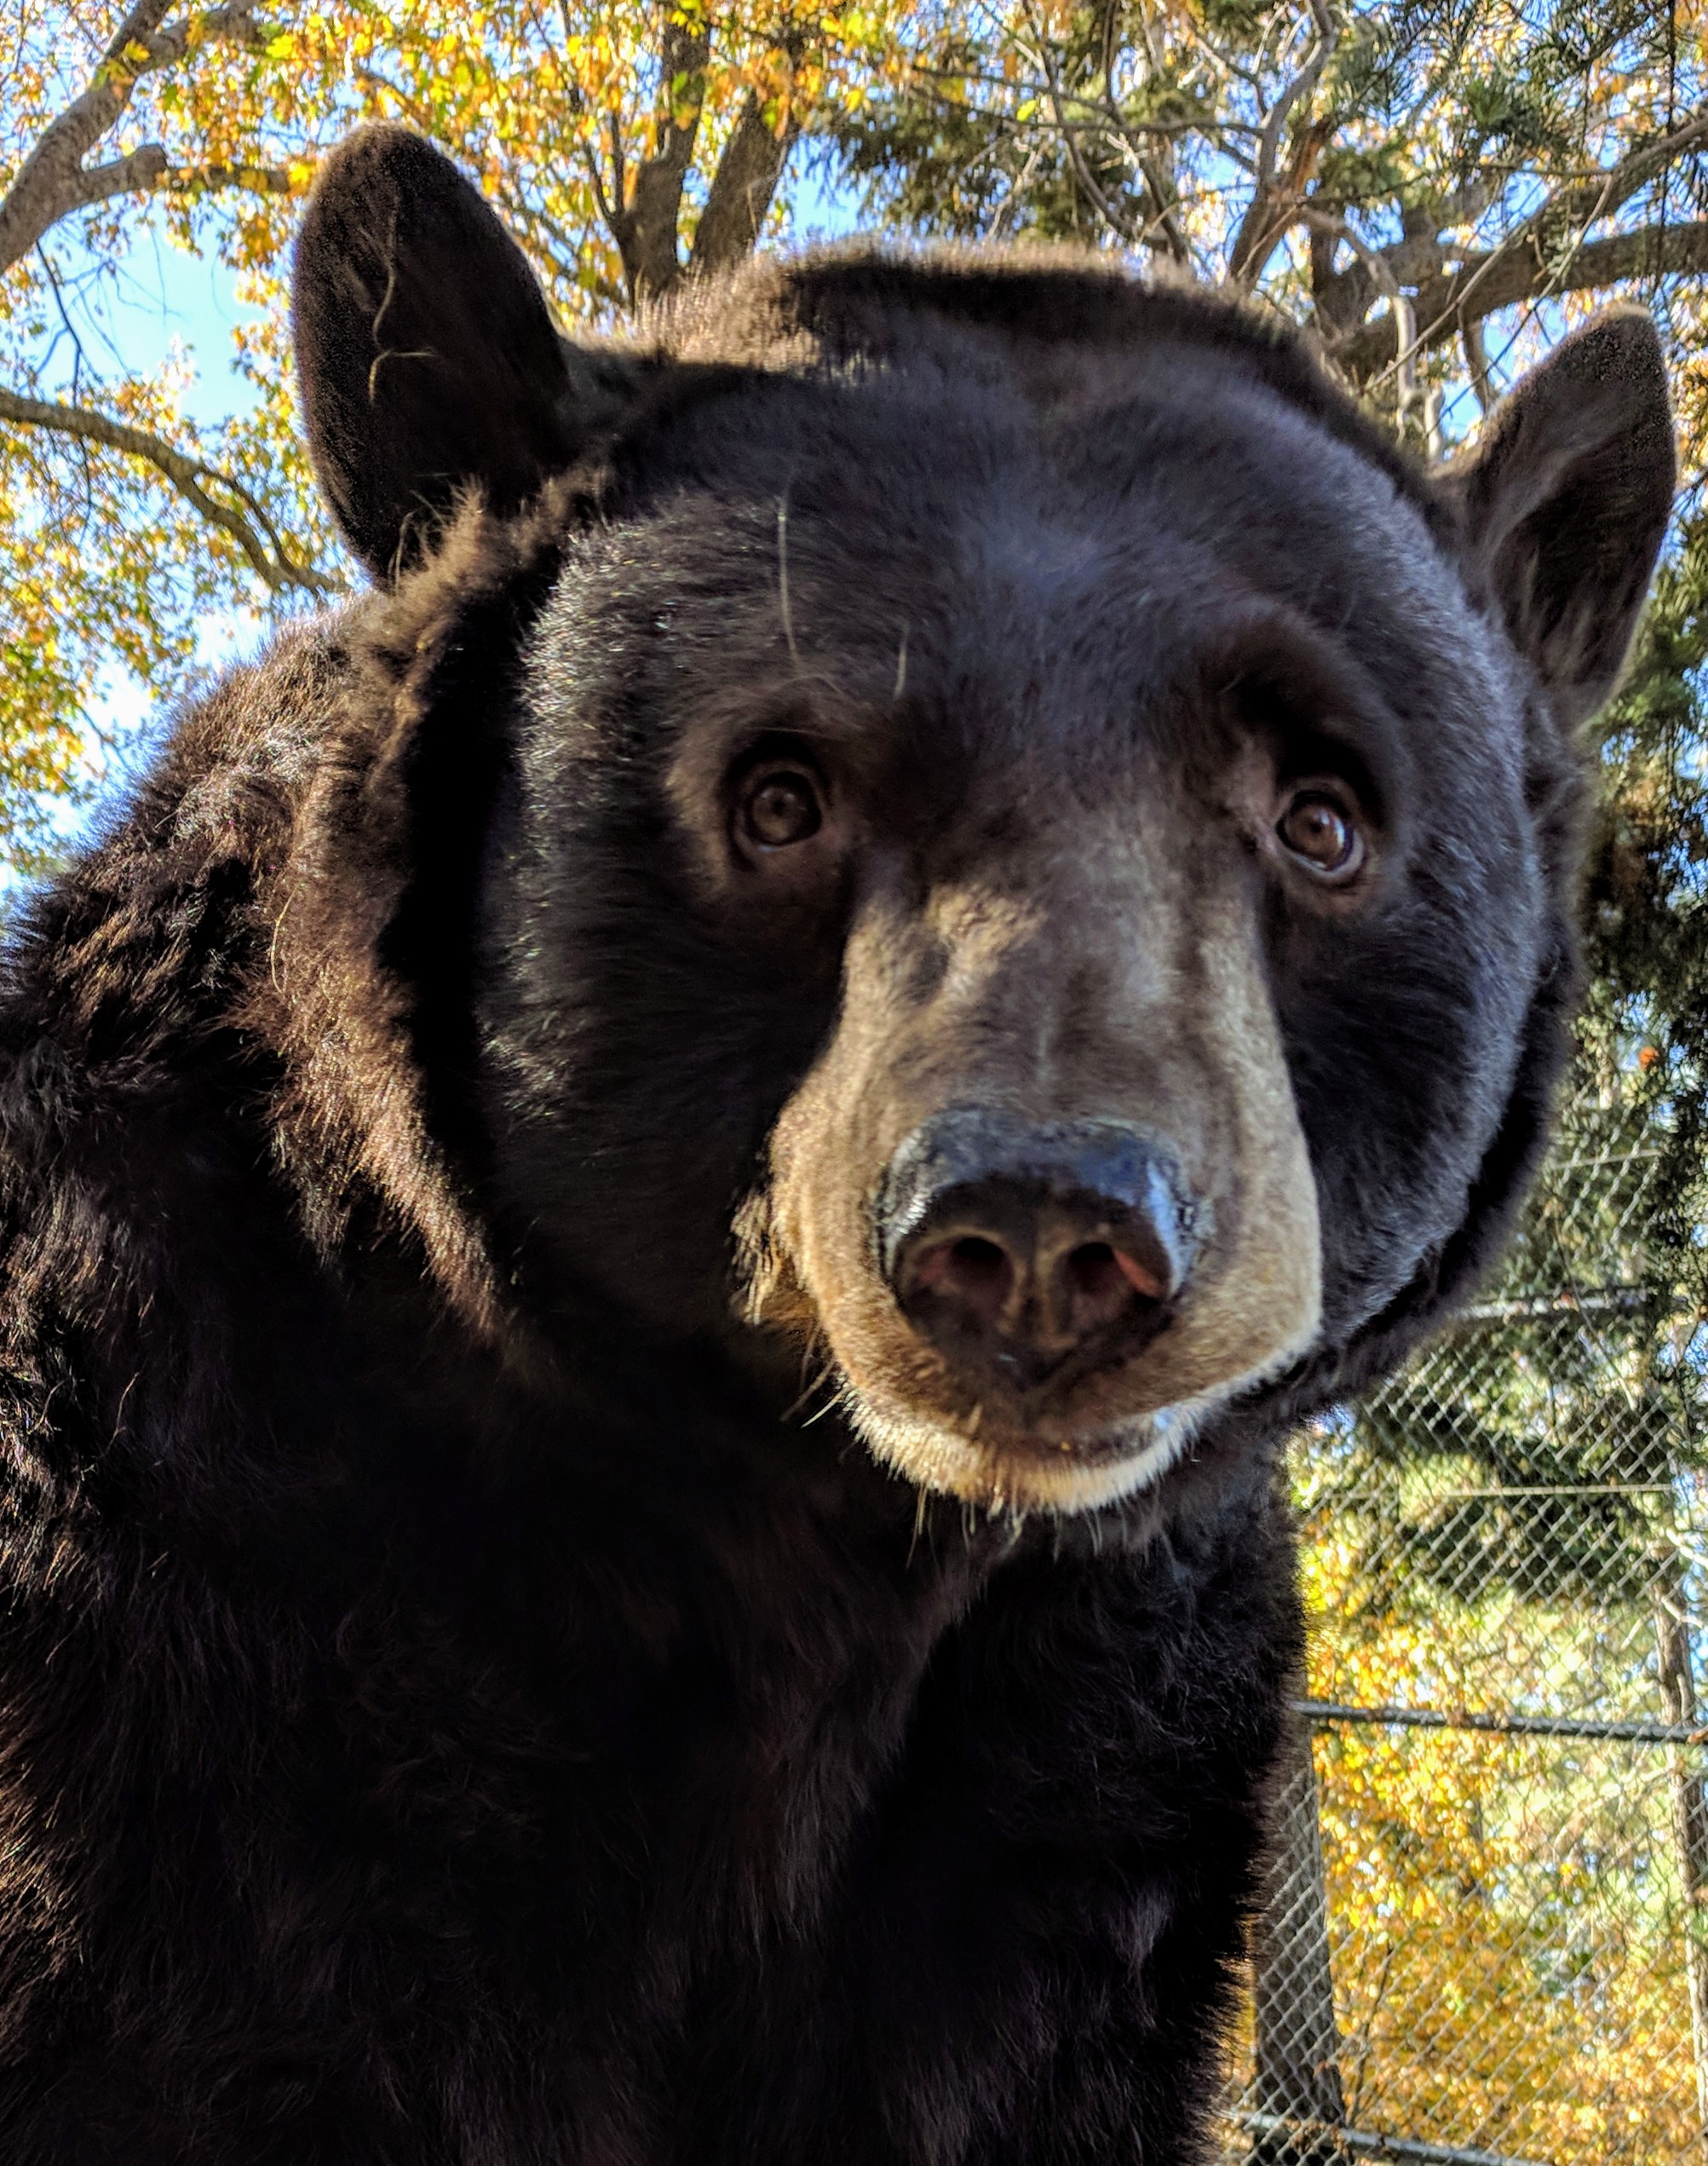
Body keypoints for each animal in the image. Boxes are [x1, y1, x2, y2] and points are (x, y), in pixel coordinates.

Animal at [0, 122, 1674, 2165]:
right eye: (779, 795)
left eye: (1326, 815)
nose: (1044, 1228)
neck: (832, 1549)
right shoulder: (210, 1570)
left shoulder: (1082, 1753)